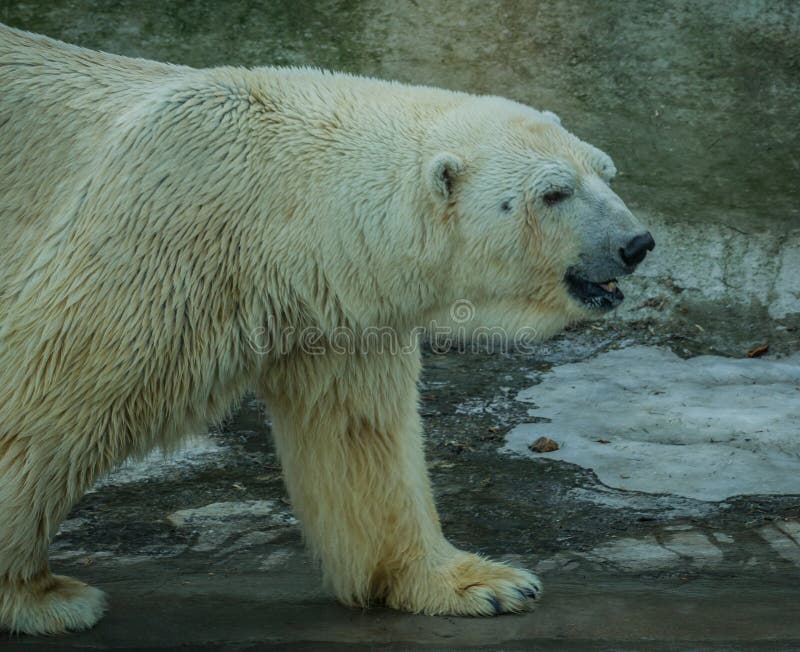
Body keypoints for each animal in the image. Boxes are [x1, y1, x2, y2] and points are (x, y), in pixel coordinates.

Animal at [0, 23, 653, 635]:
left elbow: (360, 438)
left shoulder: (337, 309)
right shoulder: (160, 243)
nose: (636, 243)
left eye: (605, 171)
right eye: (553, 193)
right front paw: (44, 598)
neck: (274, 200)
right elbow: (48, 402)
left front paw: (483, 584)